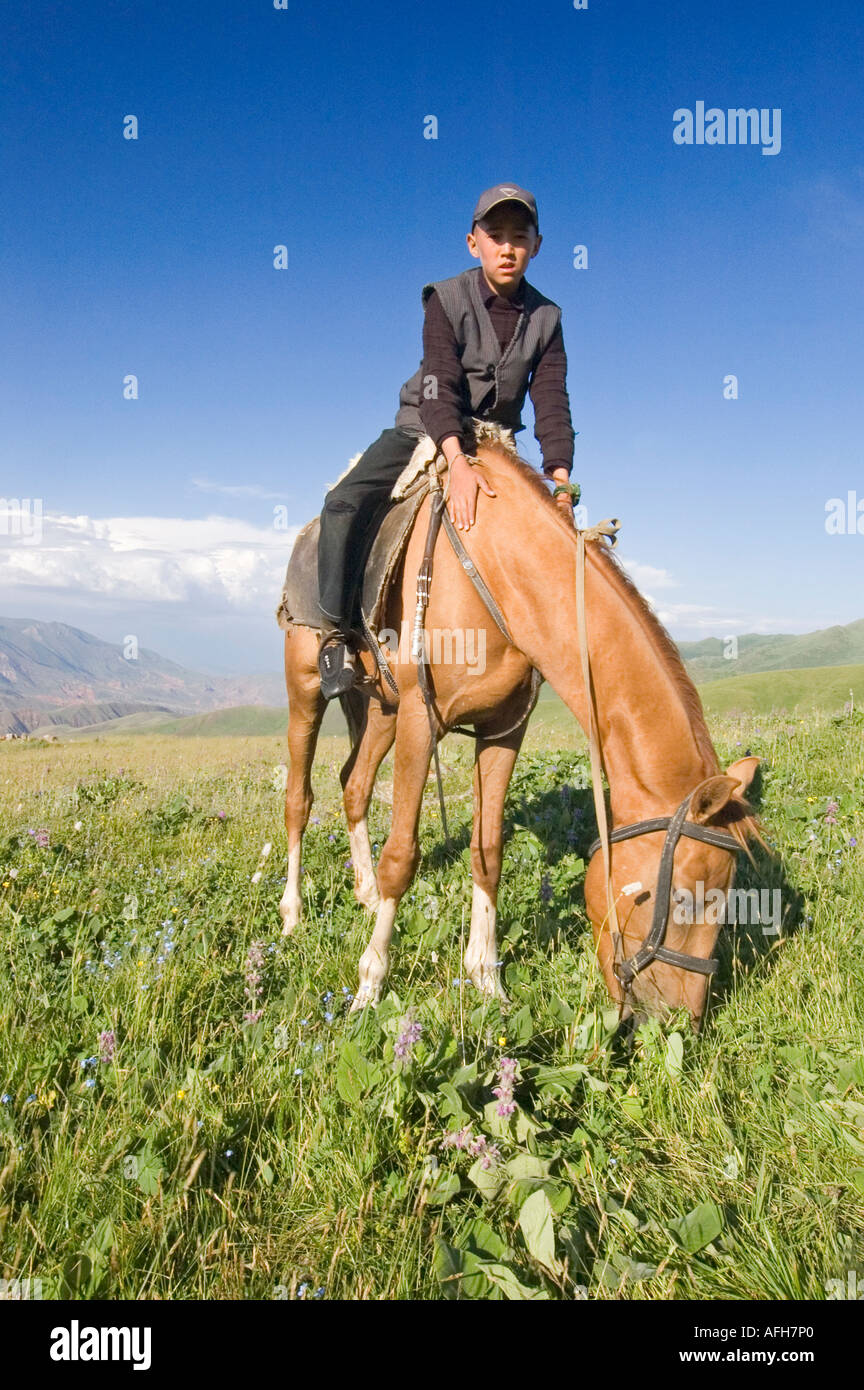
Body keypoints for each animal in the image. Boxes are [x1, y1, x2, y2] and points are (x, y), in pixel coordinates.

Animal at [278, 430, 762, 1028]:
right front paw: (370, 983)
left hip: (381, 709)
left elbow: (488, 850)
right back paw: (292, 915)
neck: (500, 572)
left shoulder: (503, 729)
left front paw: (487, 979)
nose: (681, 1022)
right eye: (685, 899)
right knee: (299, 798)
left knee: (355, 784)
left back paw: (363, 894)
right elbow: (402, 857)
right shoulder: (421, 718)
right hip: (307, 692)